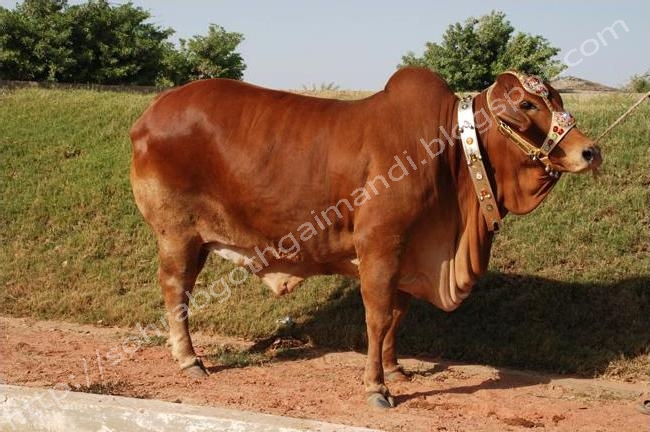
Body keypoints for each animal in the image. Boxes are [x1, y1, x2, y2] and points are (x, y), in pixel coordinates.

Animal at [130, 67, 601, 409]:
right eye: (528, 103)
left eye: (558, 99)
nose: (590, 151)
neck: (449, 153)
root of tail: (151, 113)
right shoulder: (380, 245)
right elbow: (377, 316)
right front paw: (376, 386)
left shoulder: (409, 254)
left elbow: (397, 315)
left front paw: (394, 370)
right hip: (178, 233)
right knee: (176, 290)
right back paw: (189, 360)